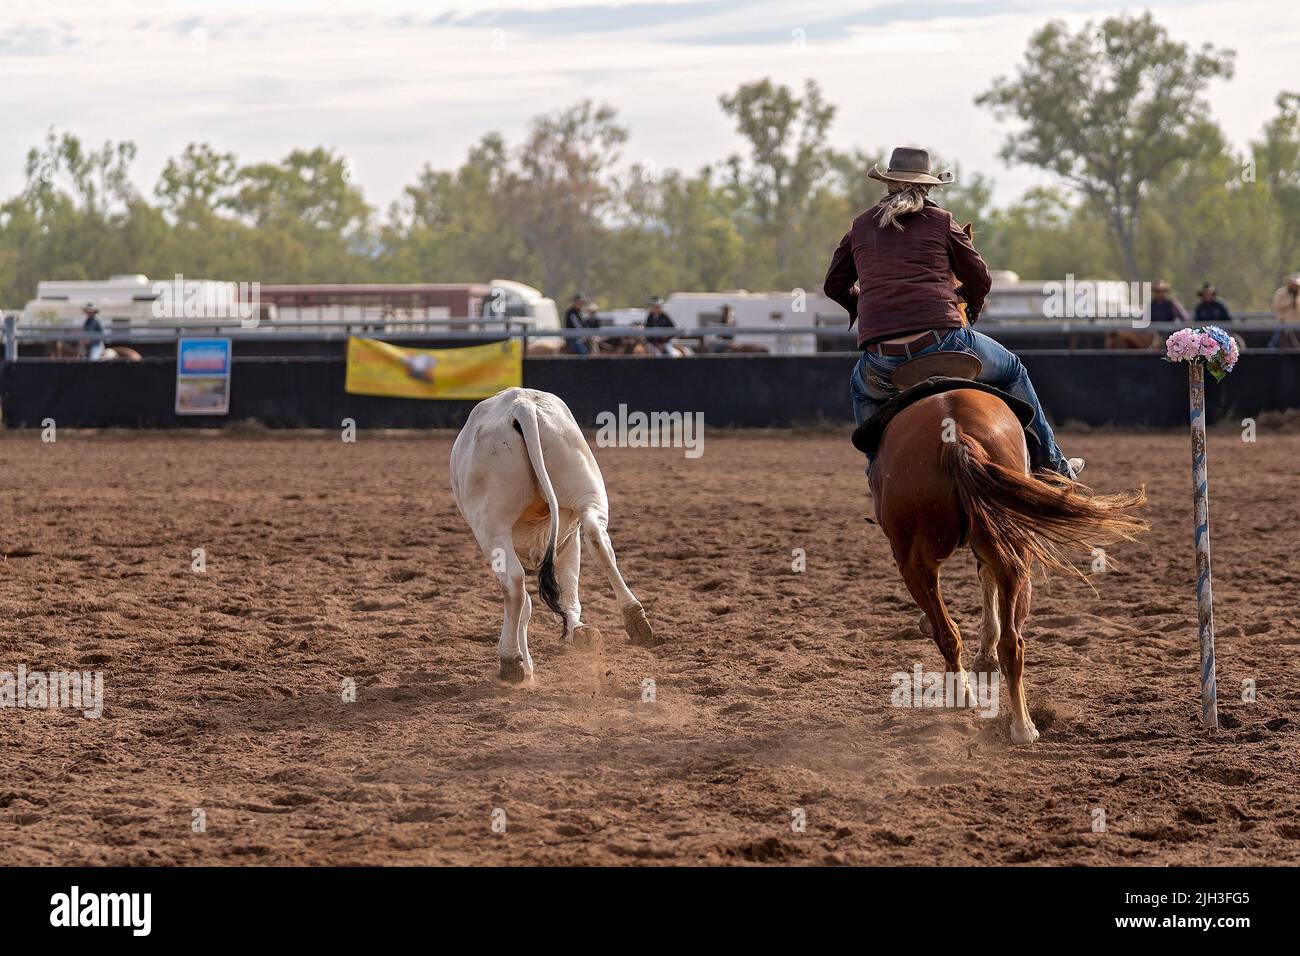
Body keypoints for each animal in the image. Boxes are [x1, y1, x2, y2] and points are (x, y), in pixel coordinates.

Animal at [867, 357, 1147, 744]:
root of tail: (955, 437)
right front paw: (984, 657)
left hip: (922, 557)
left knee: (950, 632)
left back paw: (969, 696)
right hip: (1004, 547)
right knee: (1006, 641)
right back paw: (1020, 724)